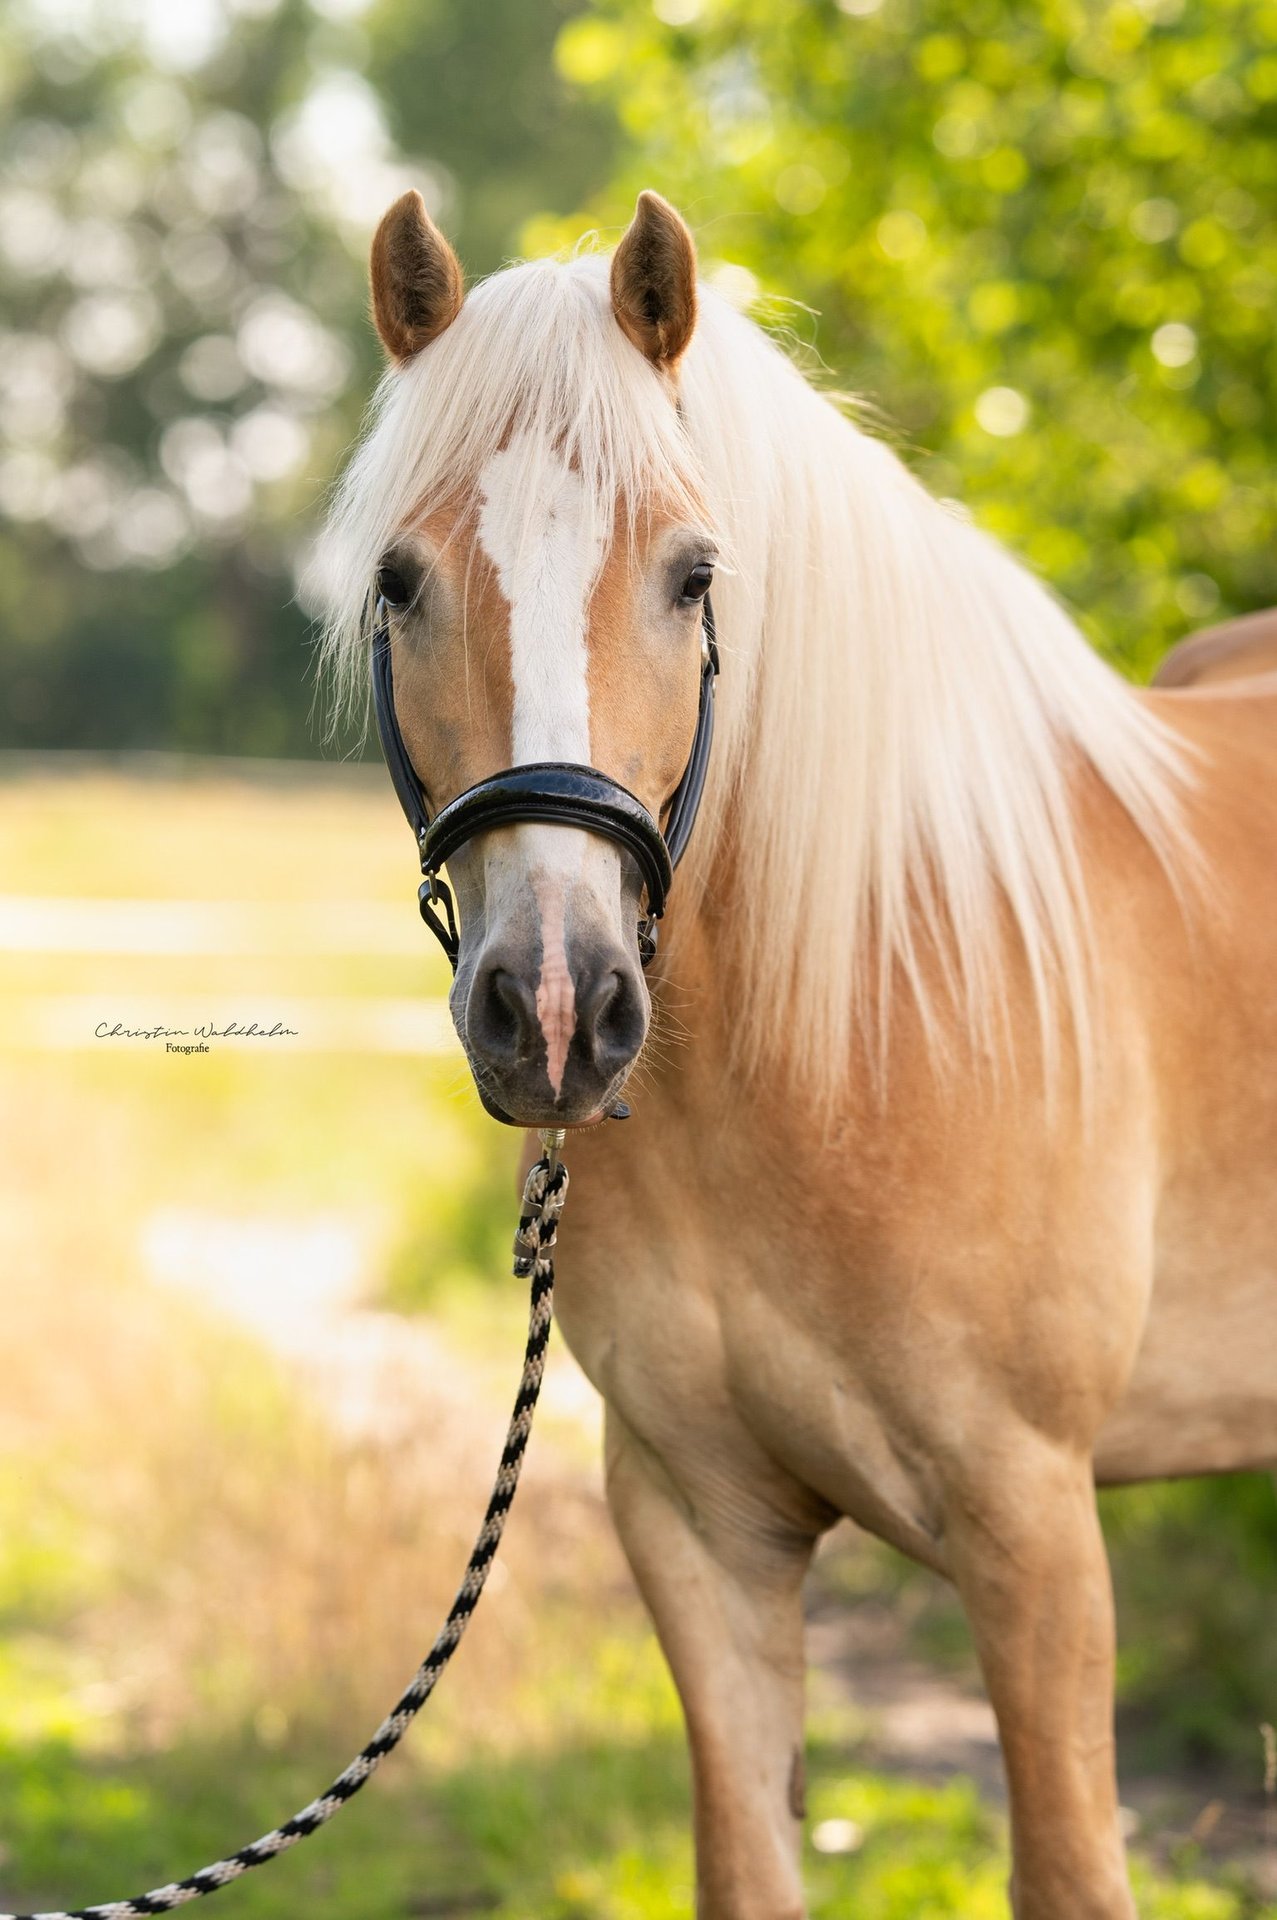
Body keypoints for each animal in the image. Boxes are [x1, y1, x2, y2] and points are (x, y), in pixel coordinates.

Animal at [318, 188, 1277, 1919]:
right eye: (400, 581)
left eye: (696, 577)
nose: (553, 1007)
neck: (866, 1025)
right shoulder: (701, 1528)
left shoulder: (1035, 1530)